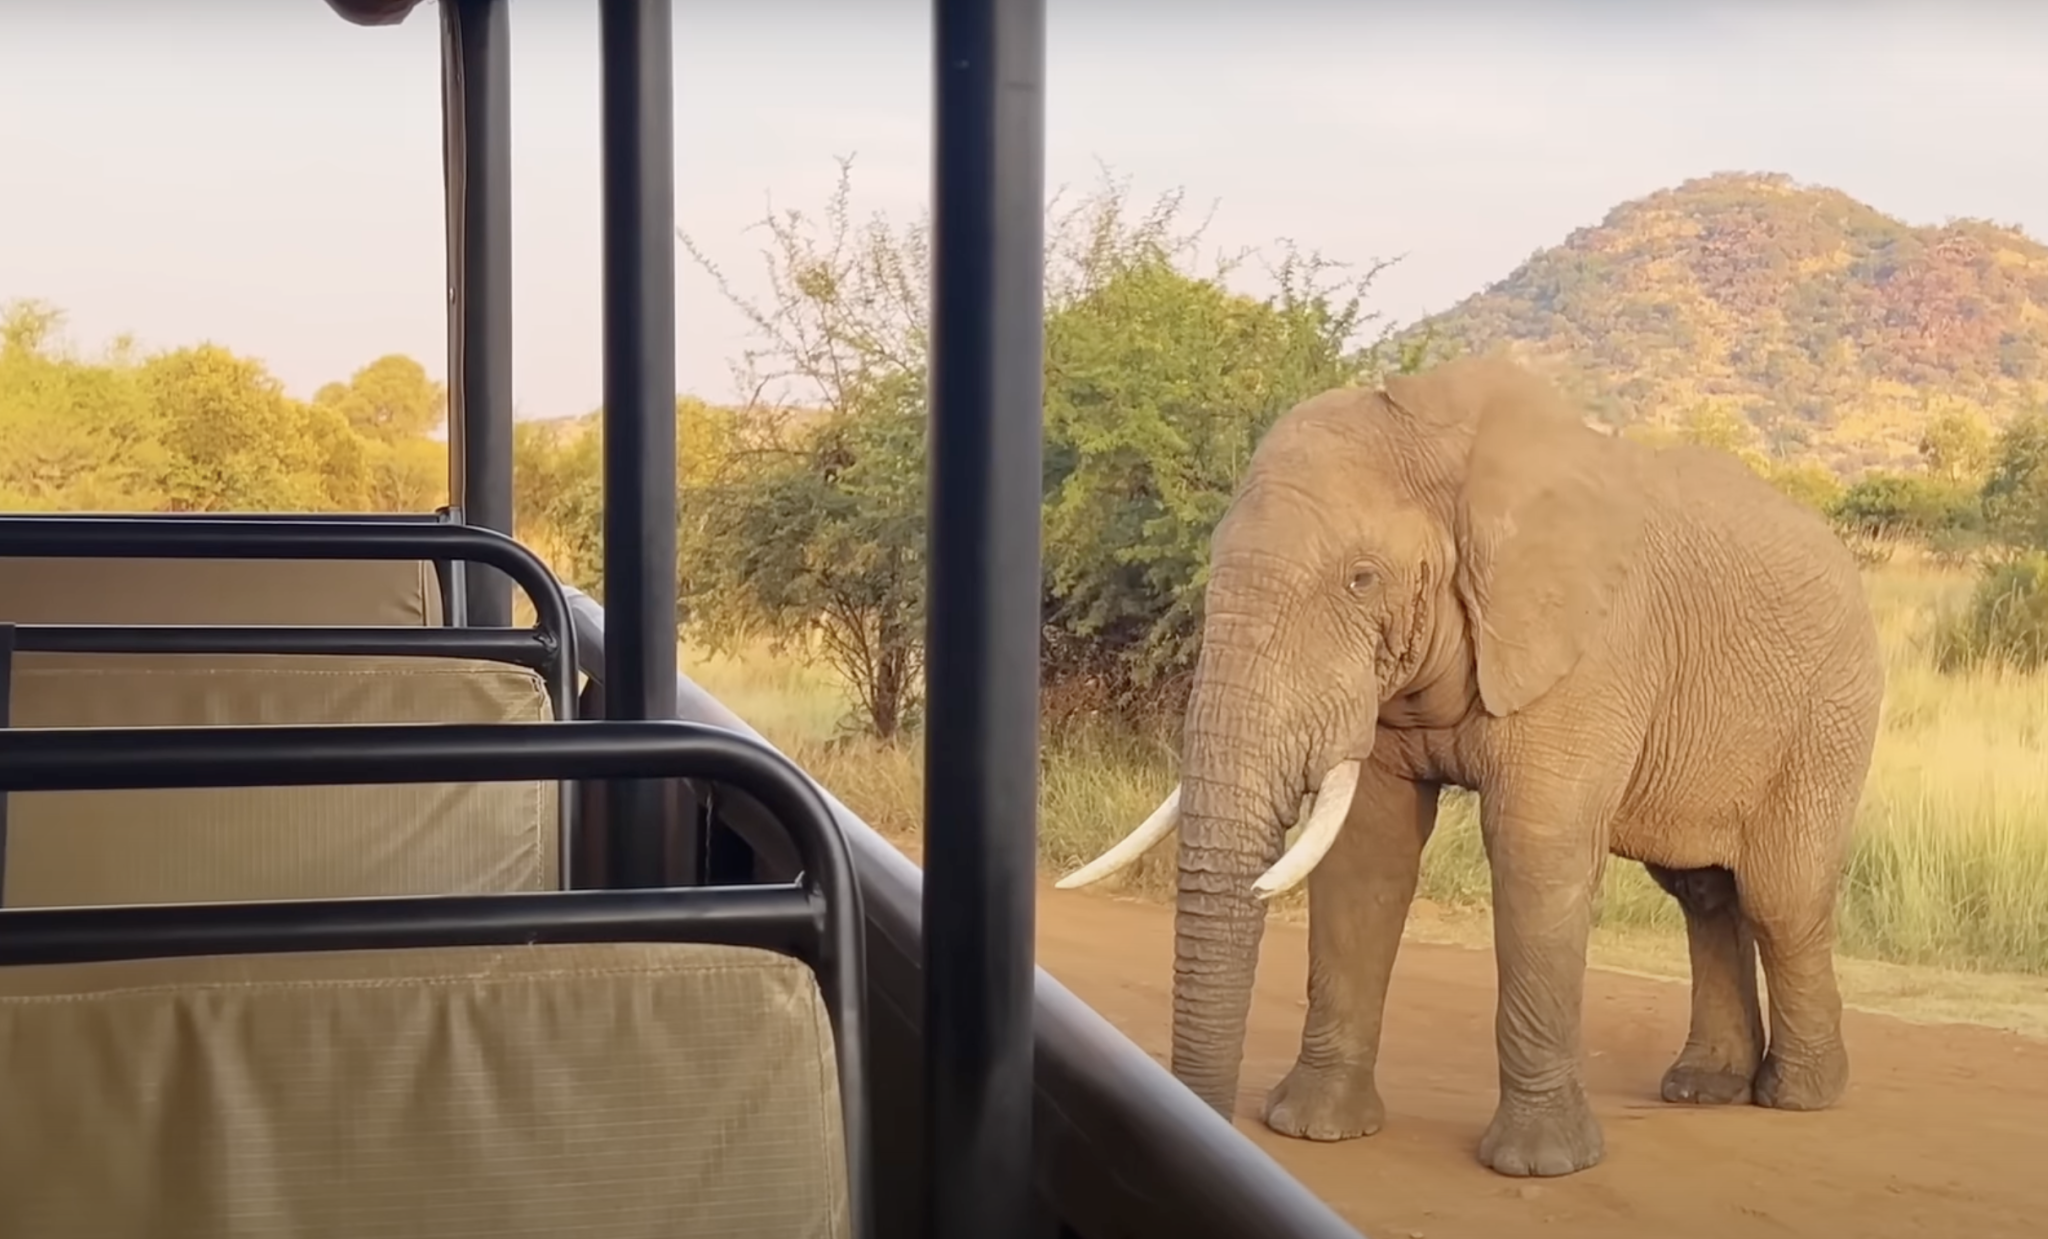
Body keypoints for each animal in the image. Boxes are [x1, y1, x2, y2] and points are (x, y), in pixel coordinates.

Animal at [1057, 355, 1884, 1178]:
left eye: (1362, 578)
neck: (1448, 443)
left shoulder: (1589, 650)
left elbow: (1534, 850)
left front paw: (1541, 1165)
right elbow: (1368, 854)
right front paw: (1316, 1129)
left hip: (1831, 712)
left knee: (1780, 896)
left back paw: (1800, 1095)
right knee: (1703, 891)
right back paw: (1705, 1086)